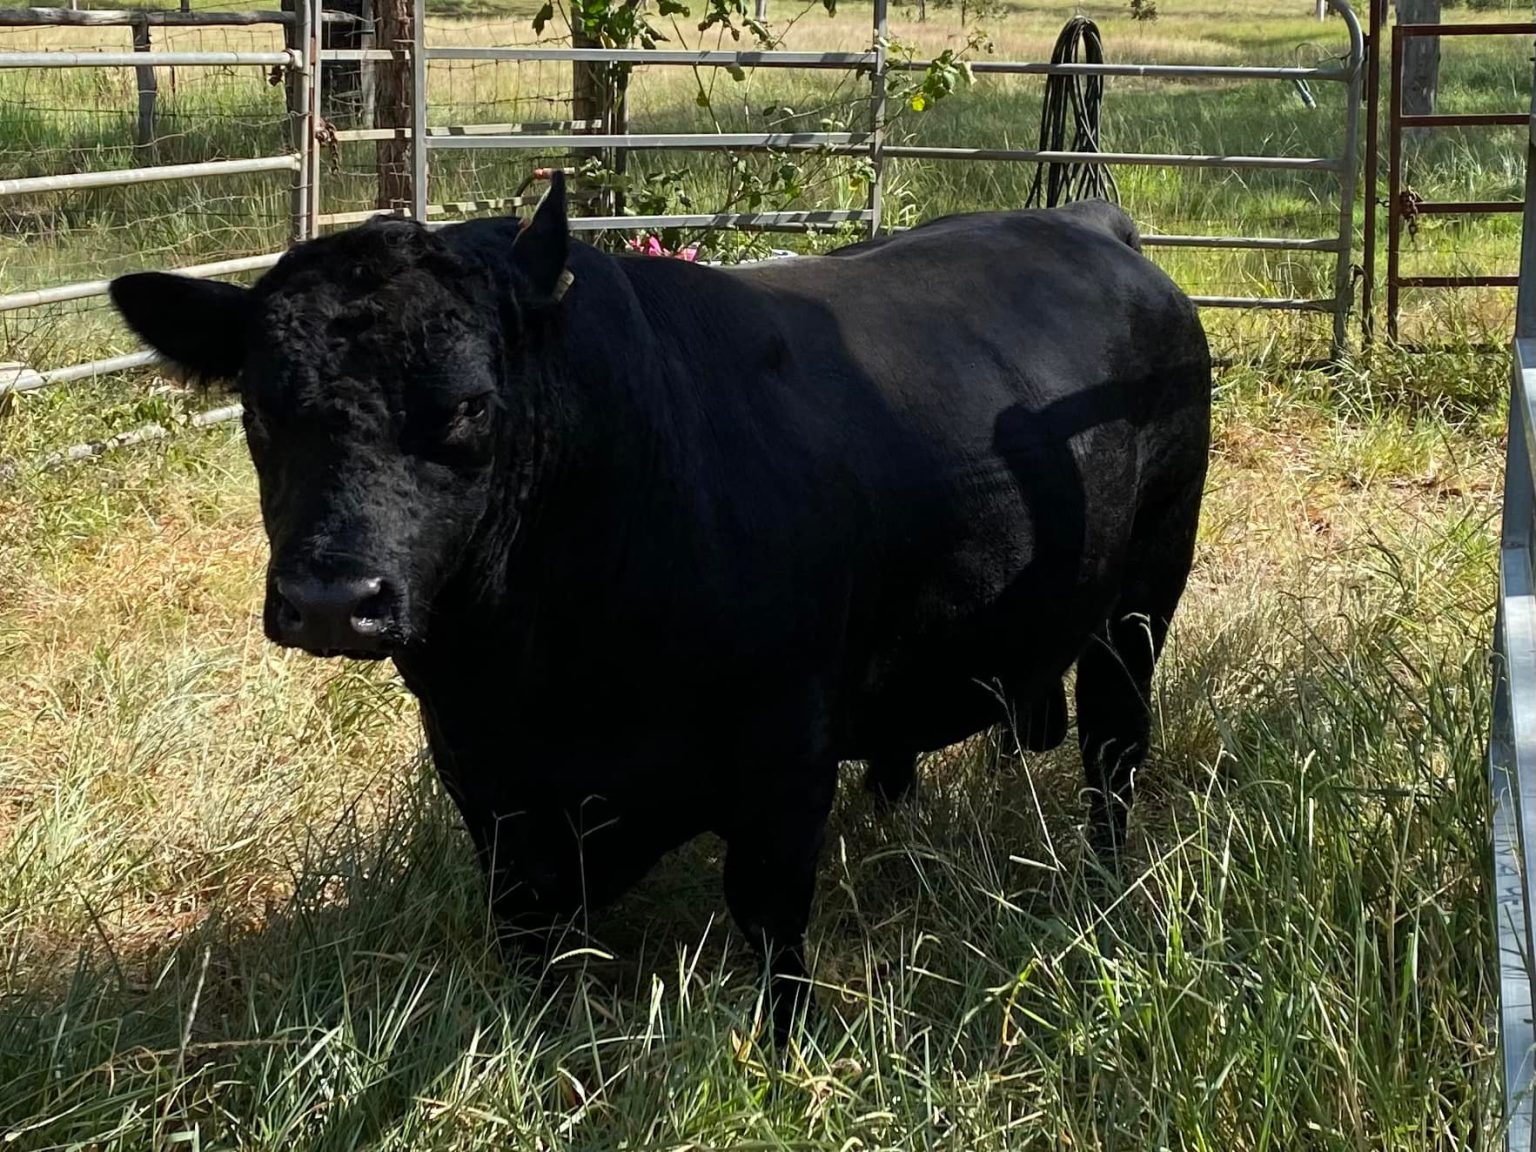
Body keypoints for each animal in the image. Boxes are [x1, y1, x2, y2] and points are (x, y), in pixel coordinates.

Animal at [108, 174, 1212, 1042]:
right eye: (258, 408)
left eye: (469, 404)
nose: (334, 599)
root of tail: (1084, 221)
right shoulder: (483, 774)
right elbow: (533, 938)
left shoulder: (783, 750)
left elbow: (769, 917)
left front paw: (786, 1052)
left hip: (1143, 594)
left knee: (1115, 746)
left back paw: (1101, 887)